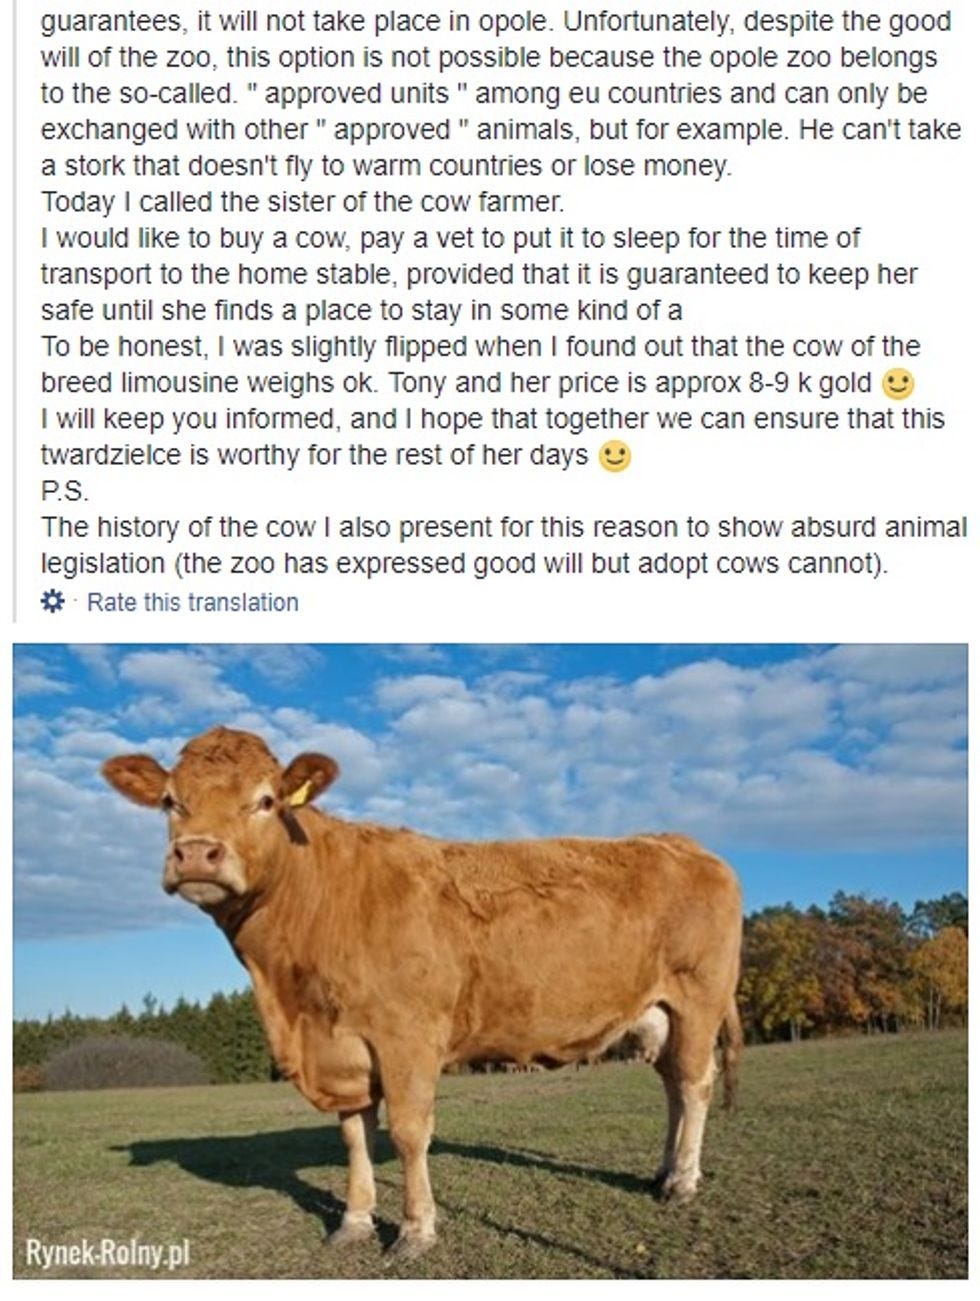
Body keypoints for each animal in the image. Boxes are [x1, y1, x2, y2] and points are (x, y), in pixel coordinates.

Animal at [103, 726, 743, 1260]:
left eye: (266, 801)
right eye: (170, 802)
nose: (196, 853)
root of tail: (682, 844)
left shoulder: (406, 1036)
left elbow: (410, 1134)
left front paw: (415, 1232)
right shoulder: (345, 1048)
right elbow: (354, 1136)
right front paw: (355, 1222)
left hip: (698, 999)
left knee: (695, 1084)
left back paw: (682, 1181)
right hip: (657, 1014)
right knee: (672, 1087)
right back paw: (661, 1171)